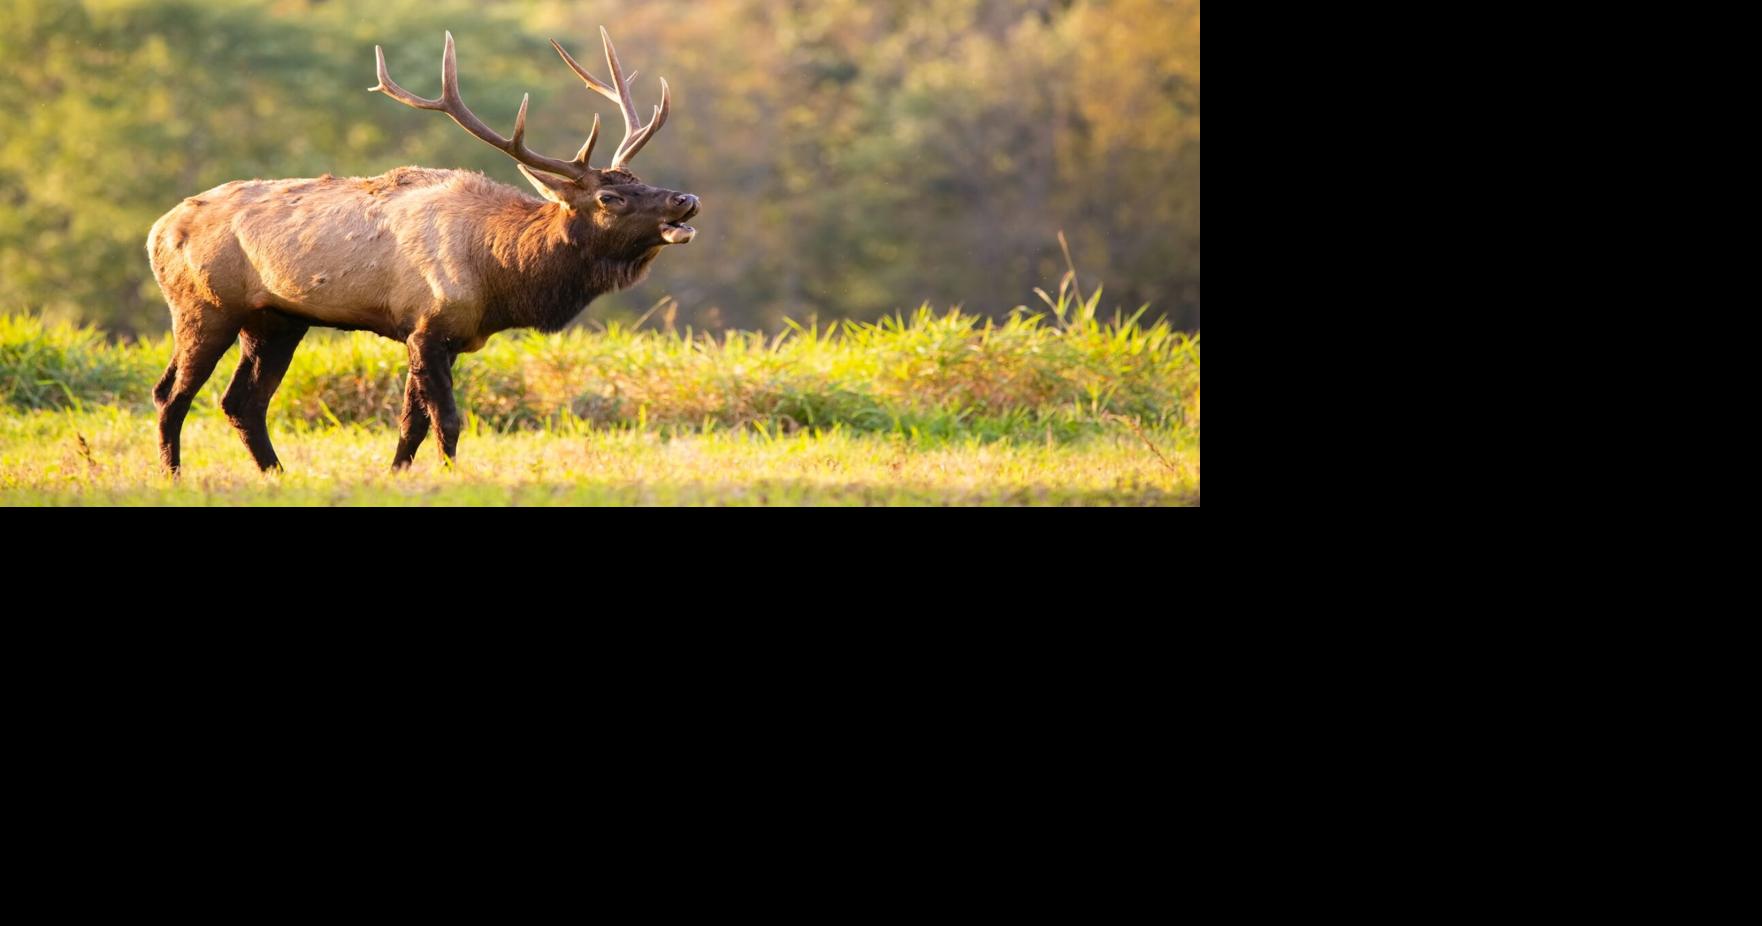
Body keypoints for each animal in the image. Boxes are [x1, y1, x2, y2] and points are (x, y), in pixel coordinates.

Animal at [145, 29, 699, 473]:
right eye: (609, 198)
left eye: (638, 179)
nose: (685, 199)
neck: (499, 276)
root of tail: (156, 230)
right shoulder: (427, 326)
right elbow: (447, 421)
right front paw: (451, 478)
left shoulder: (441, 334)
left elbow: (411, 423)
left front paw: (398, 475)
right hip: (204, 306)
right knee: (171, 394)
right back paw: (173, 475)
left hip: (275, 320)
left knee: (242, 402)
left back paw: (276, 474)